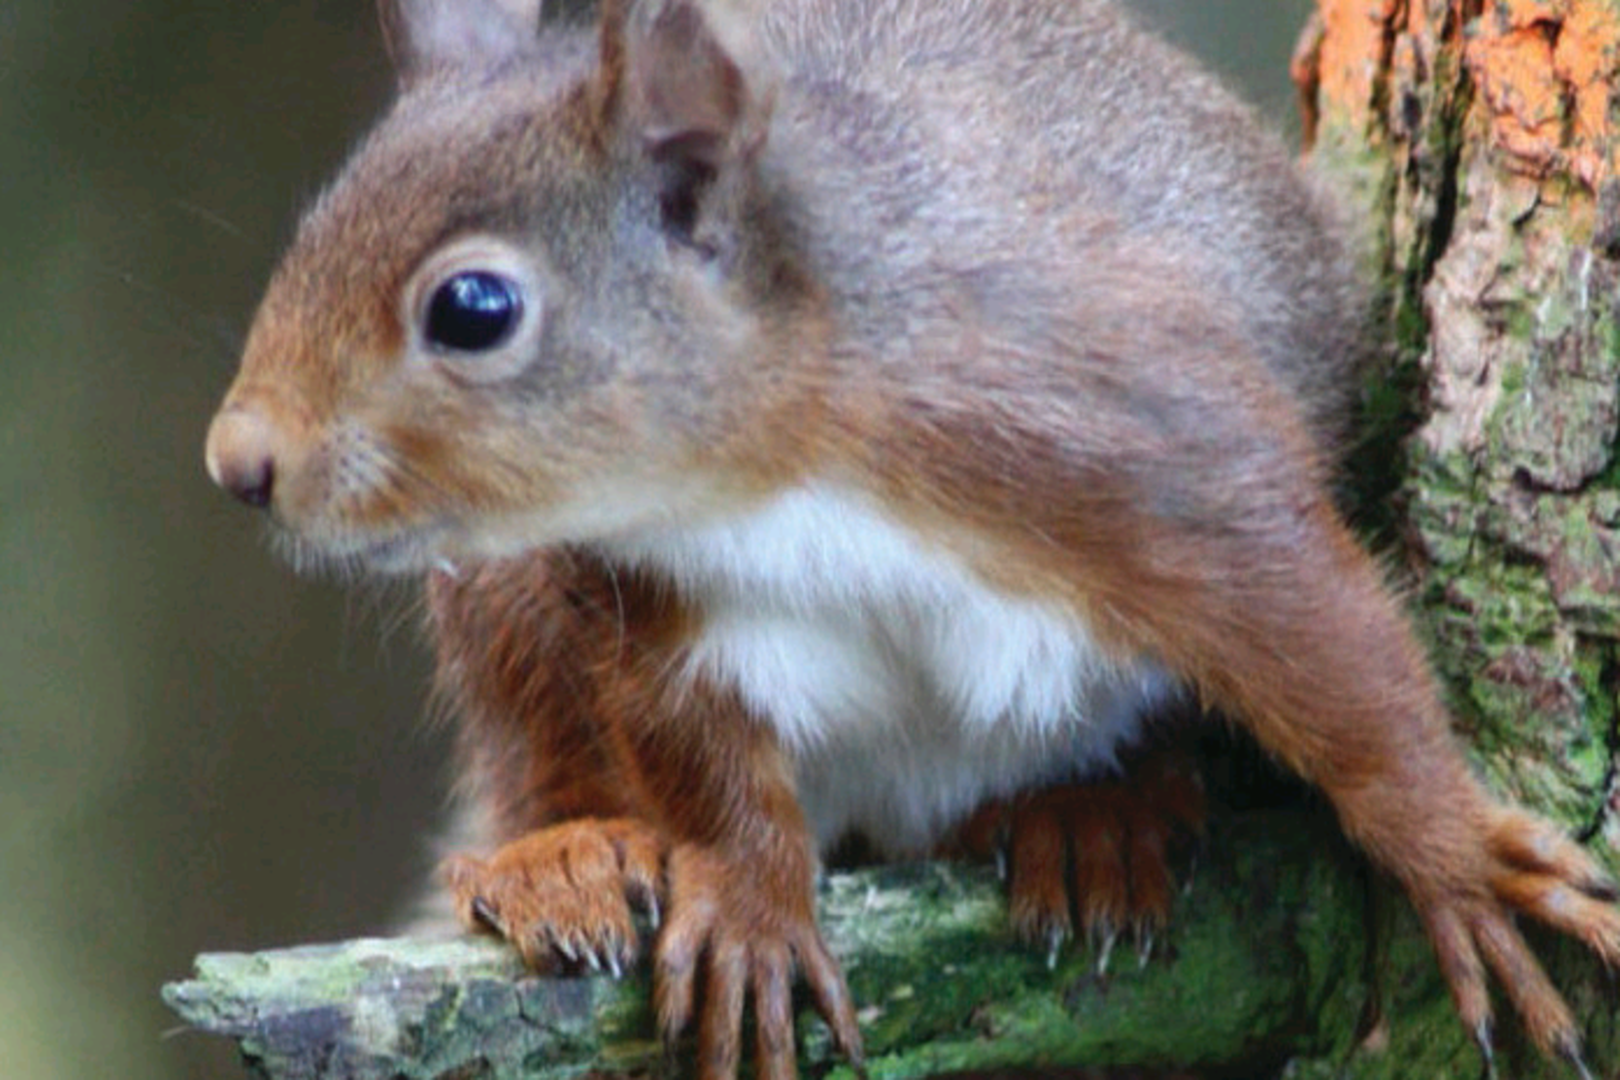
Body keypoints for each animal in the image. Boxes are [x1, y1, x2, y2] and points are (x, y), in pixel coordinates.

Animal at [204, 0, 1620, 1076]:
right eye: (314, 227)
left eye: (474, 308)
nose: (237, 463)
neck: (771, 473)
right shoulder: (649, 595)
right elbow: (702, 763)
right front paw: (752, 907)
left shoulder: (1140, 441)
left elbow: (1332, 659)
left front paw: (1457, 862)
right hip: (499, 604)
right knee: (531, 743)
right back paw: (564, 856)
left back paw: (1093, 811)